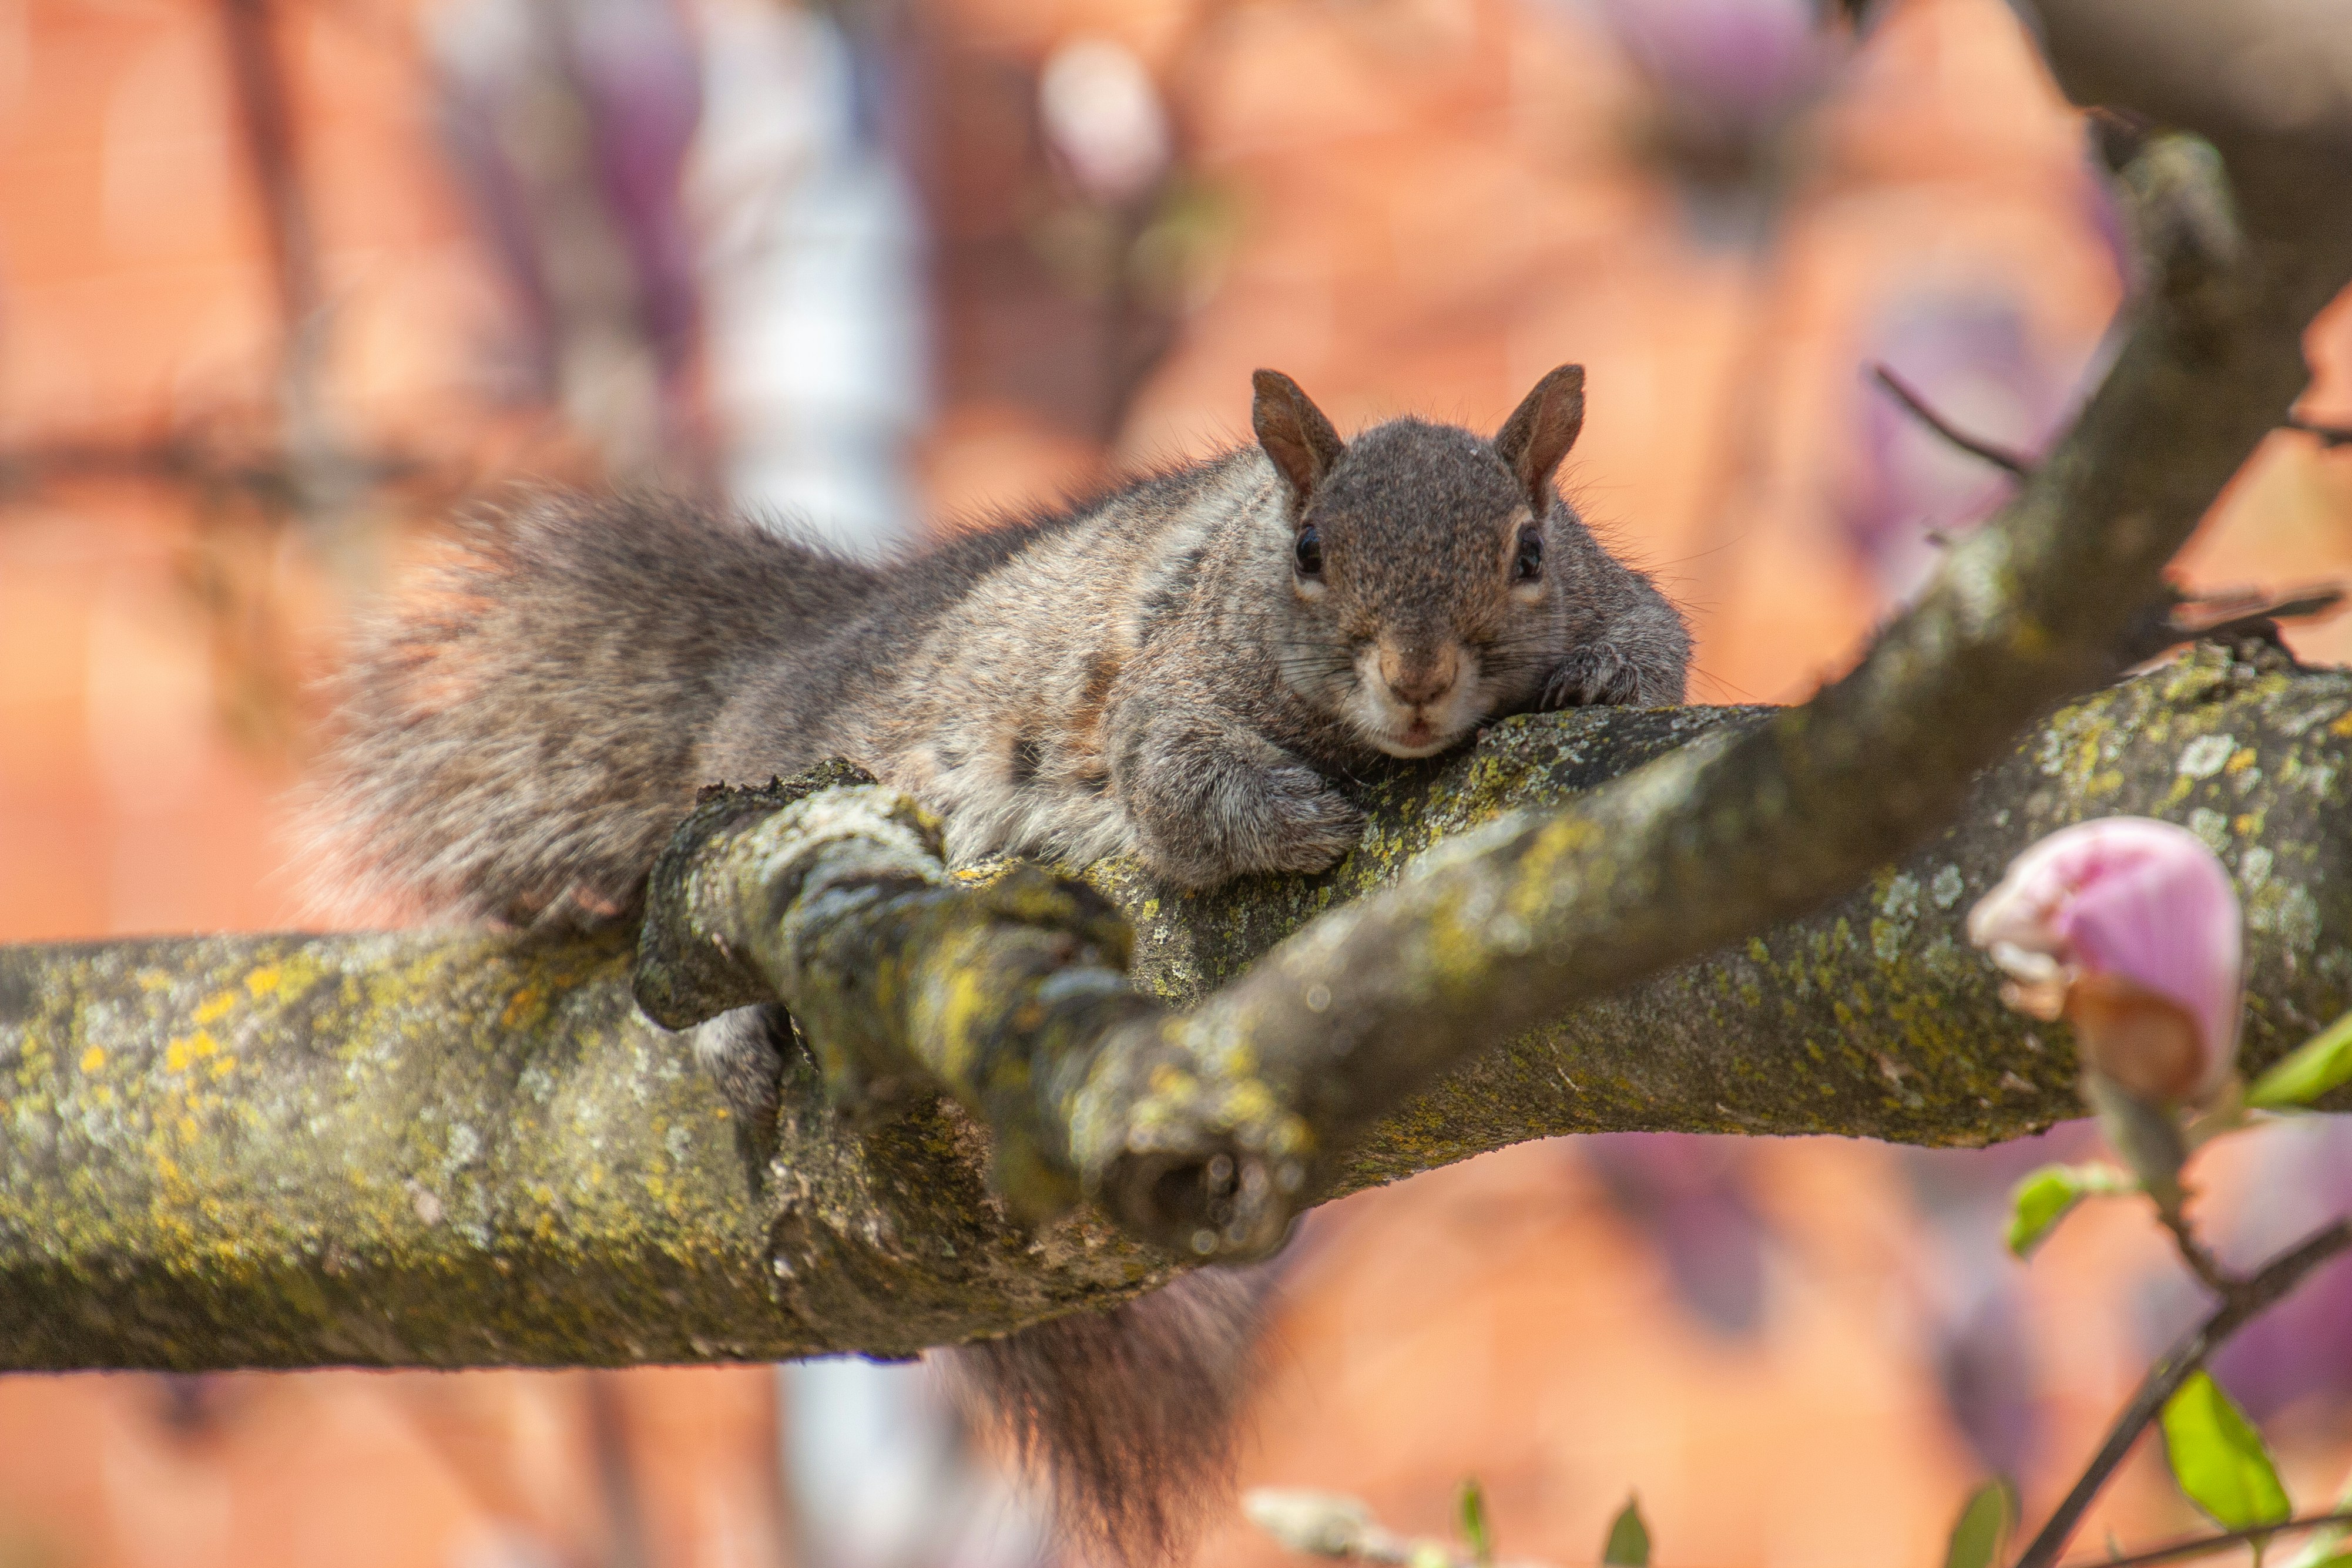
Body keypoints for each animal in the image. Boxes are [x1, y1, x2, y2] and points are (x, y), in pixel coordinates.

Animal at [306, 364, 1690, 1561]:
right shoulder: (1161, 709)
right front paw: (1306, 819)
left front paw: (1592, 671)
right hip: (760, 789)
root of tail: (779, 669)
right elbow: (1186, 796)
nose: (1414, 678)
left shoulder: (1627, 598)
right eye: (1308, 551)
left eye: (1529, 551)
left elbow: (1655, 646)